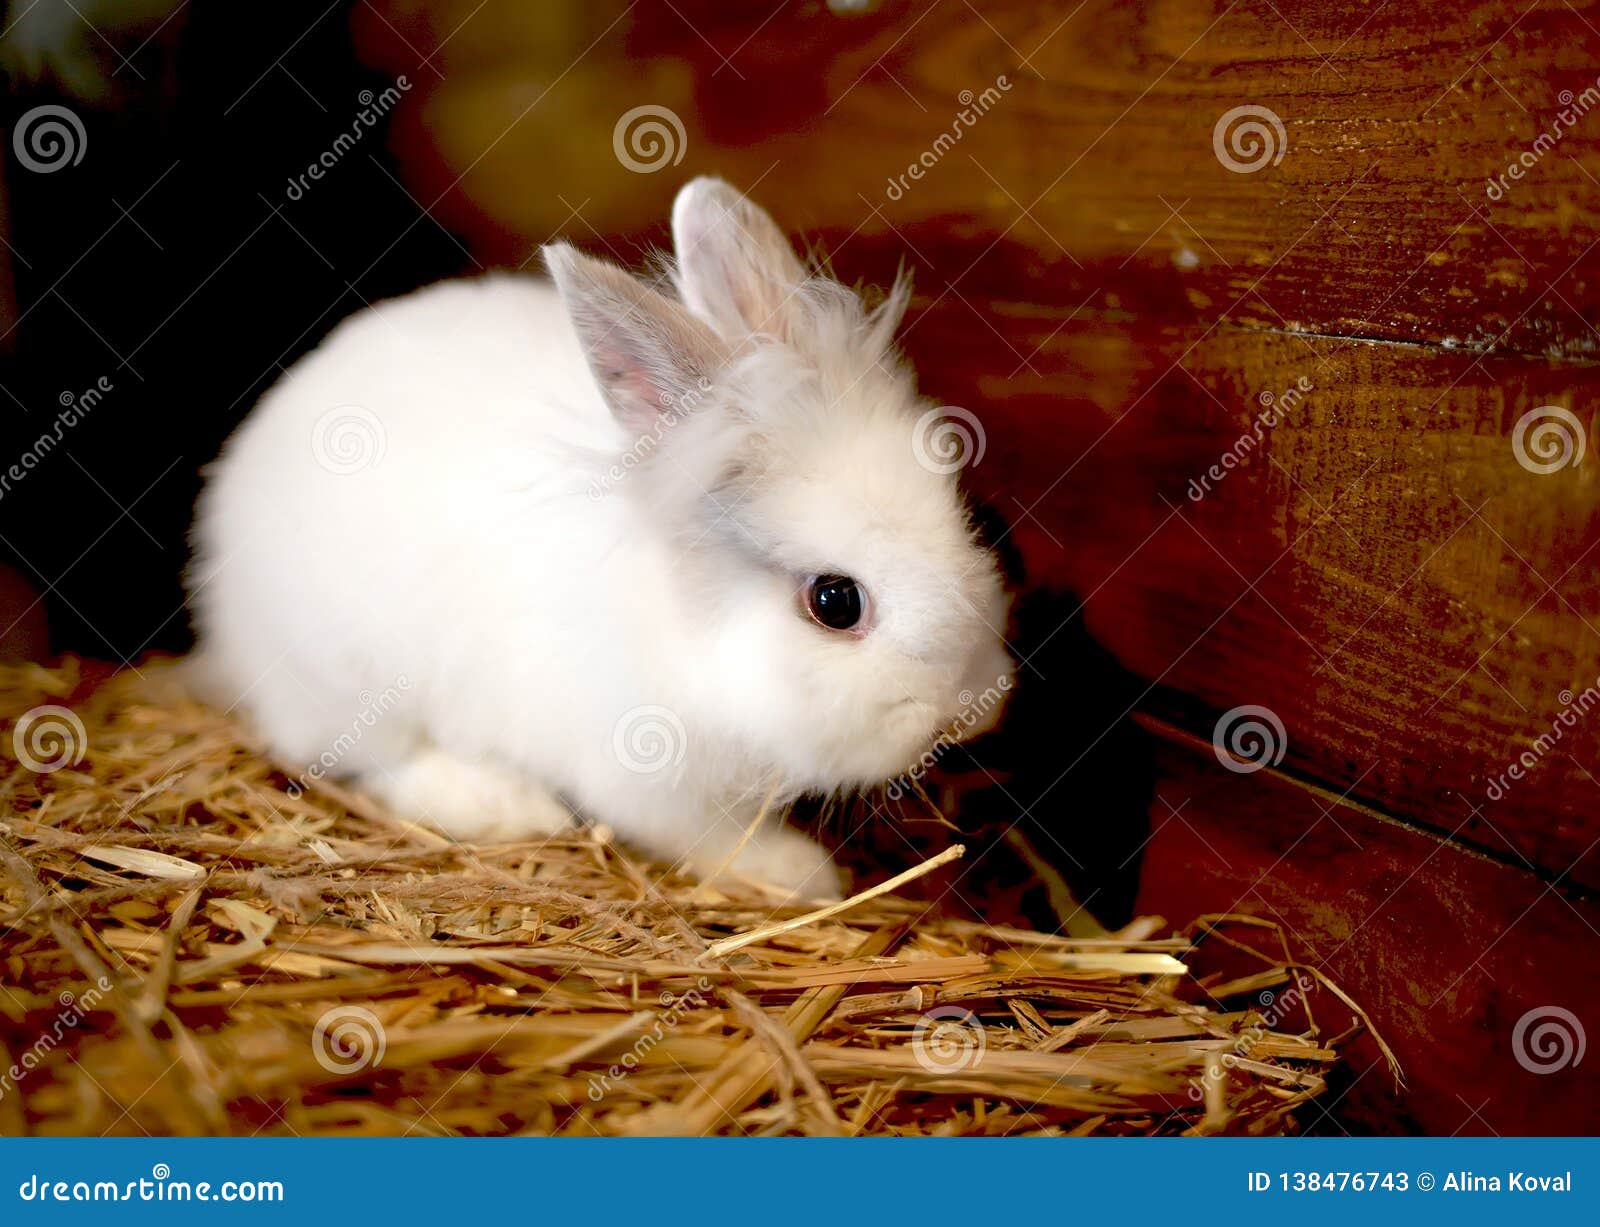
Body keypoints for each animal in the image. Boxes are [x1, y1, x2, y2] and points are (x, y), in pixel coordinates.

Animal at [186, 176, 1014, 899]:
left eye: (966, 512)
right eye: (835, 601)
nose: (972, 704)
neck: (690, 626)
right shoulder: (651, 778)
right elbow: (708, 837)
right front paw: (802, 874)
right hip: (354, 679)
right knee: (370, 760)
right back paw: (505, 804)